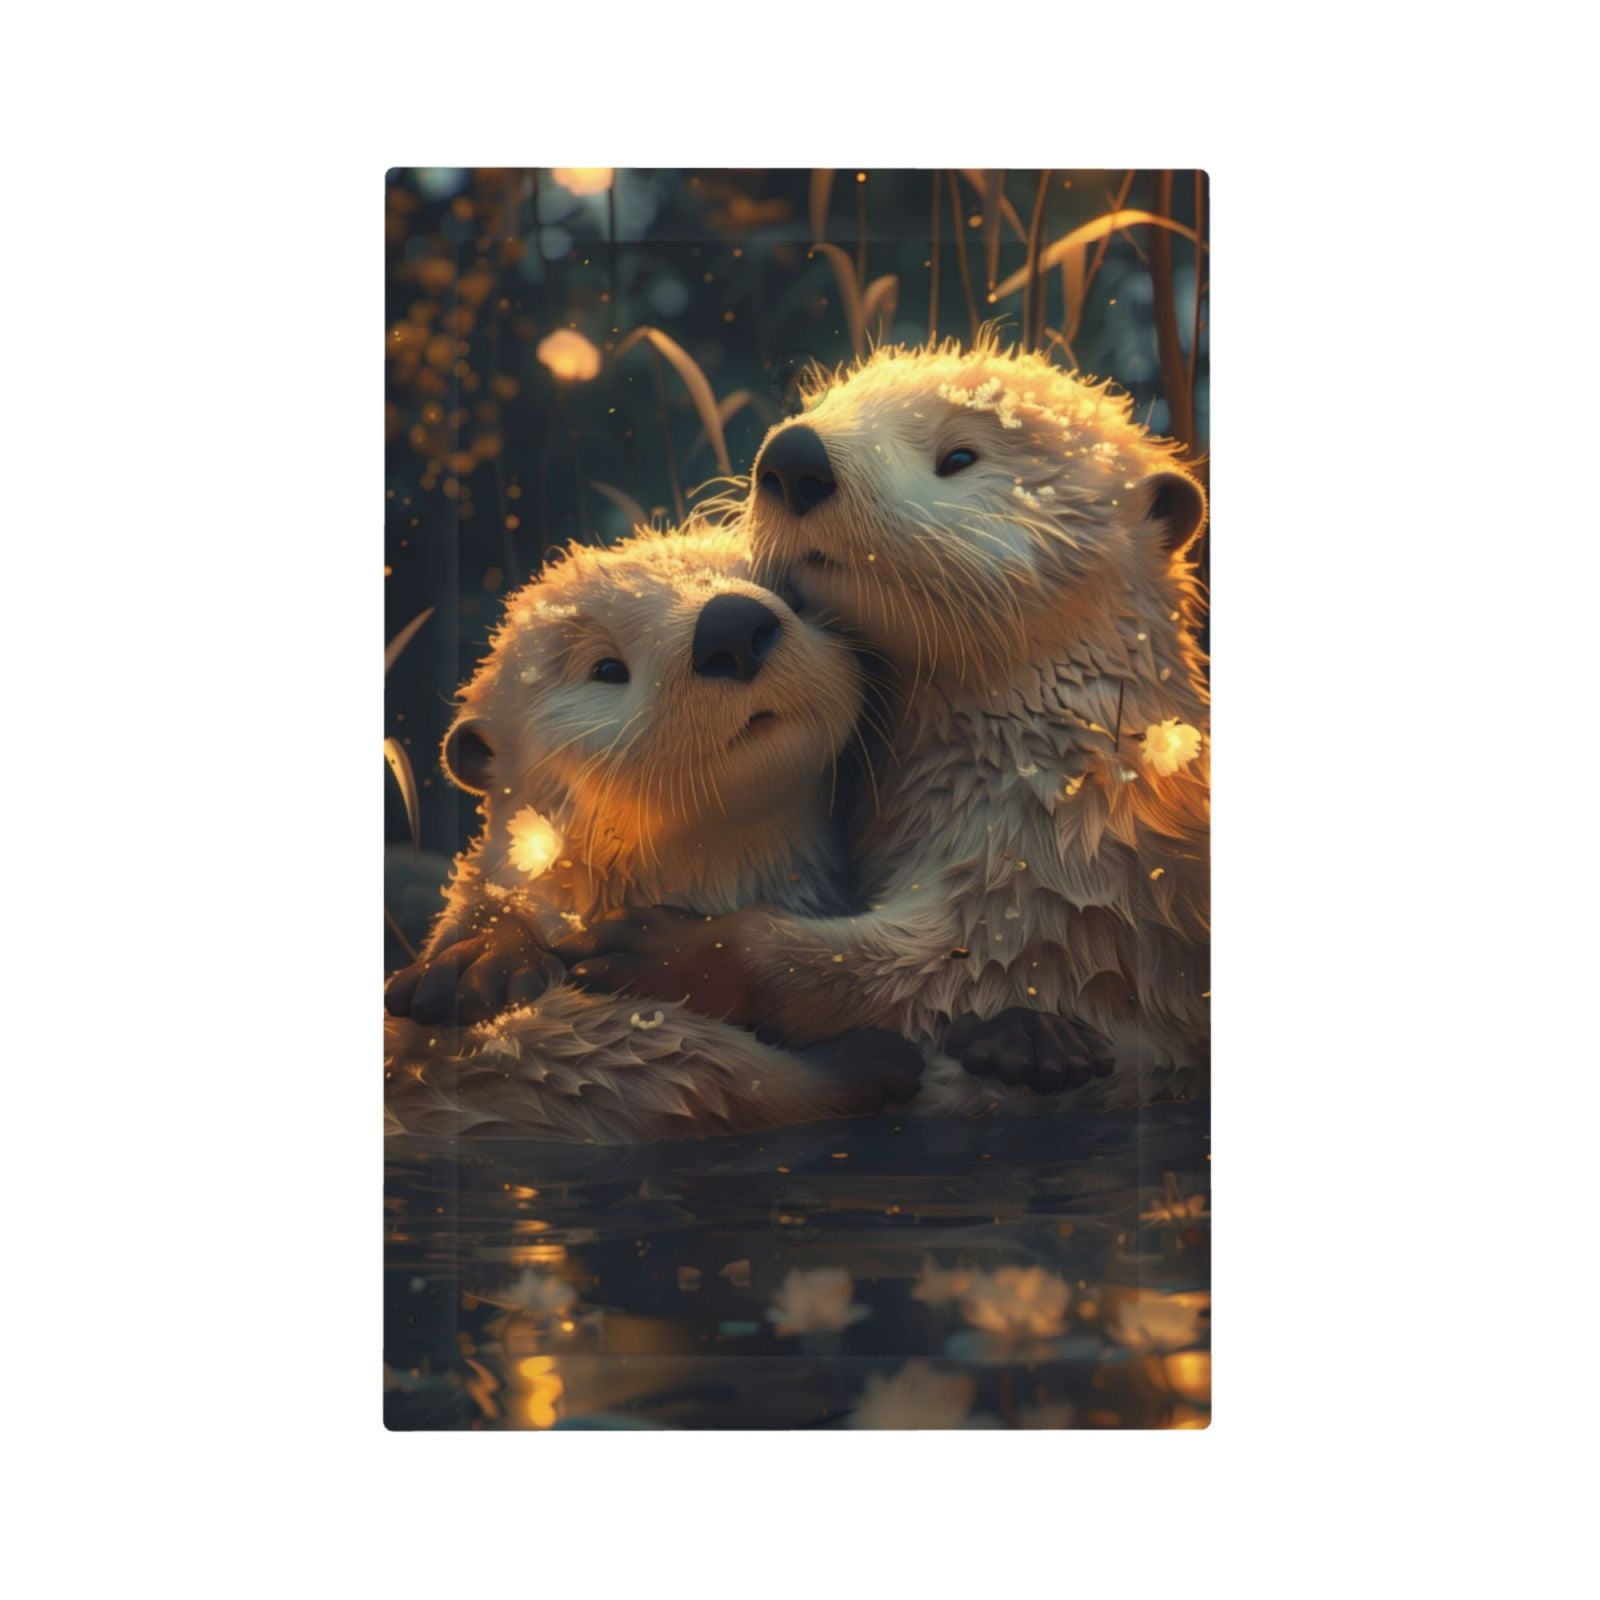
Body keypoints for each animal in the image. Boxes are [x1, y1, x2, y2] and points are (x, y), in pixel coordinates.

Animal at [556, 340, 1209, 1108]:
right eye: (825, 404)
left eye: (960, 457)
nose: (792, 457)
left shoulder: (1073, 857)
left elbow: (959, 969)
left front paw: (668, 948)